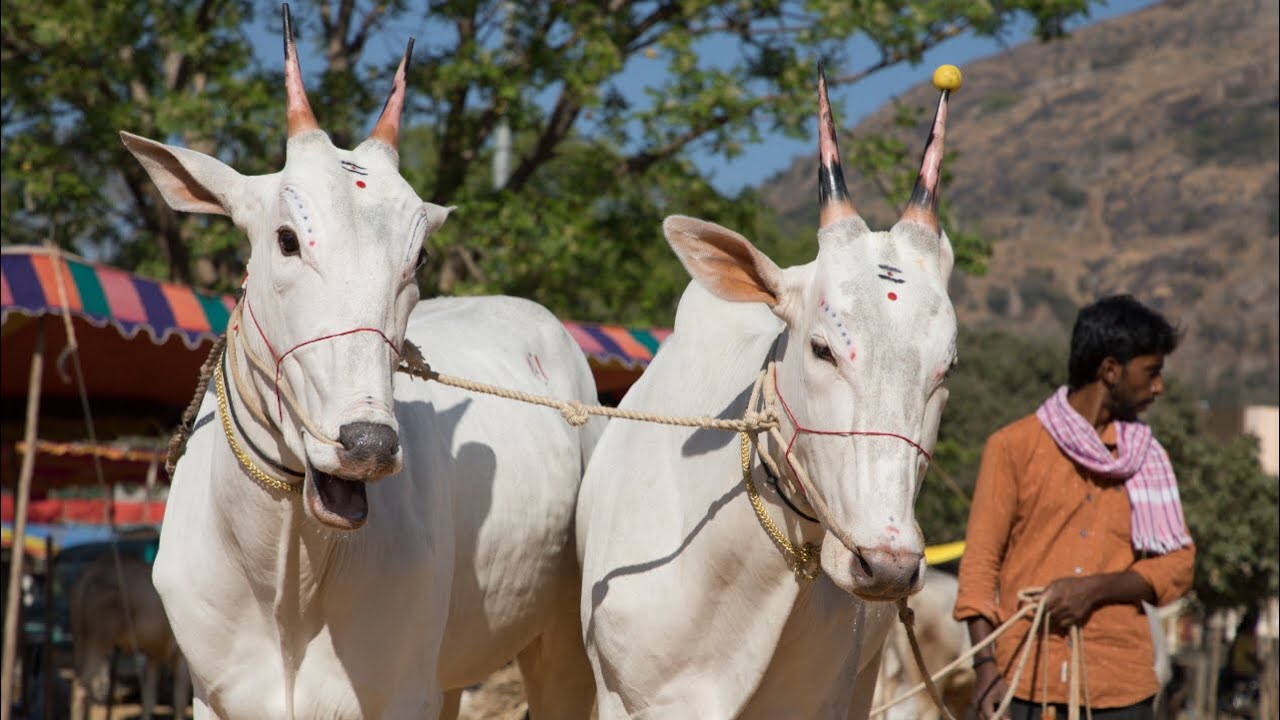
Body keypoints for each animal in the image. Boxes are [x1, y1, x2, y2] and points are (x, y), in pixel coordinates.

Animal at [69, 553, 190, 720]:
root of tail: (88, 574)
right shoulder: (179, 656)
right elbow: (179, 701)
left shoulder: (154, 655)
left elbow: (149, 699)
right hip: (99, 638)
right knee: (81, 687)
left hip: (80, 640)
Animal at [126, 7, 600, 718]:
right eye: (286, 239)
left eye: (420, 257)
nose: (367, 443)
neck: (287, 565)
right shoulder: (212, 694)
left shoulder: (399, 691)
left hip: (560, 646)